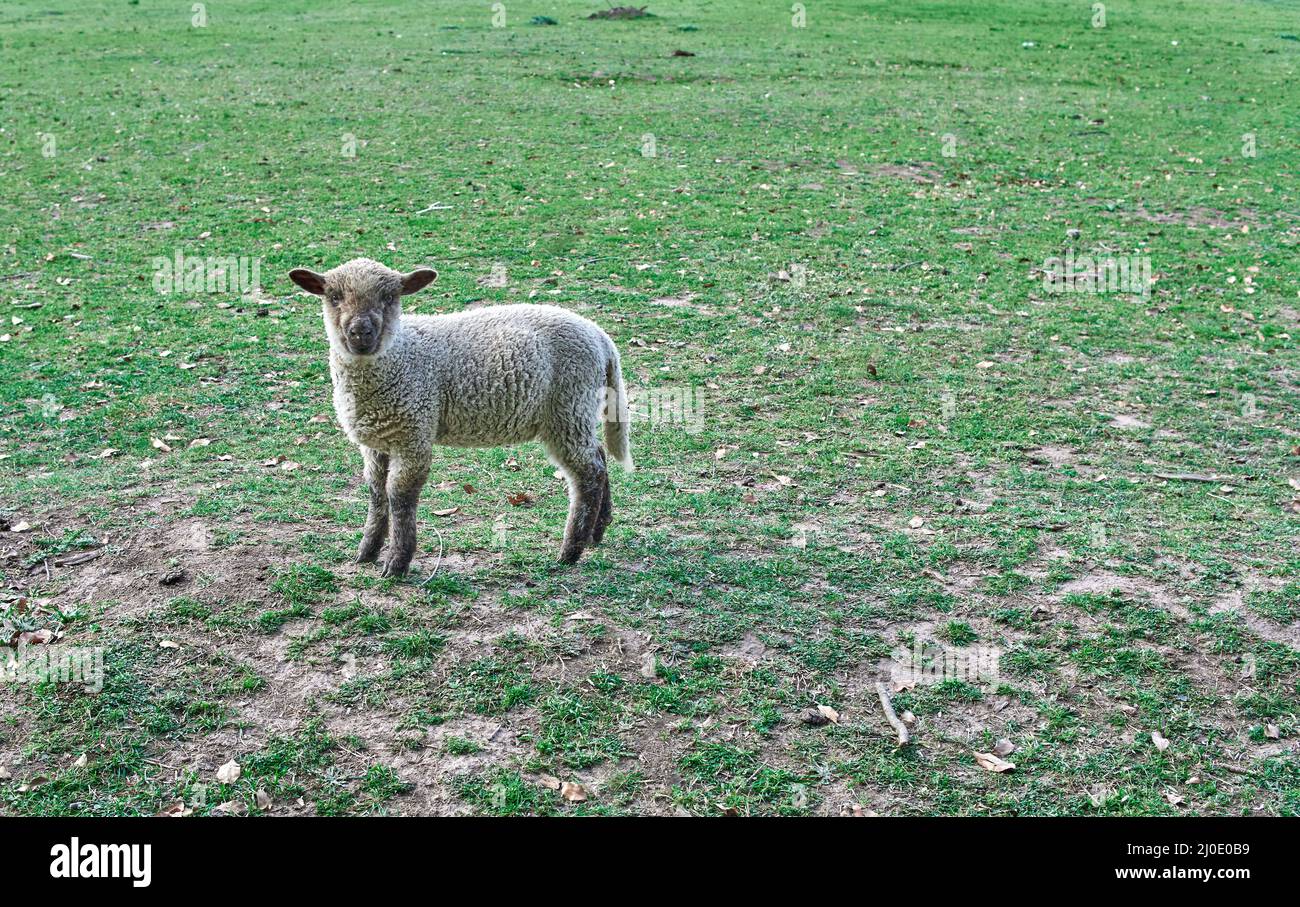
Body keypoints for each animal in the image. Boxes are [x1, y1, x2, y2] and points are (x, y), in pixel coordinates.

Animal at [288, 258, 633, 576]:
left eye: (389, 297)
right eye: (333, 296)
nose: (361, 332)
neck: (401, 356)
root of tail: (601, 338)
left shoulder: (414, 433)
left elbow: (399, 496)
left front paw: (397, 564)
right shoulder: (375, 442)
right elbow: (376, 494)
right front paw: (366, 552)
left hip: (568, 406)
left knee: (587, 473)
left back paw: (570, 552)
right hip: (577, 413)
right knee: (598, 458)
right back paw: (597, 532)